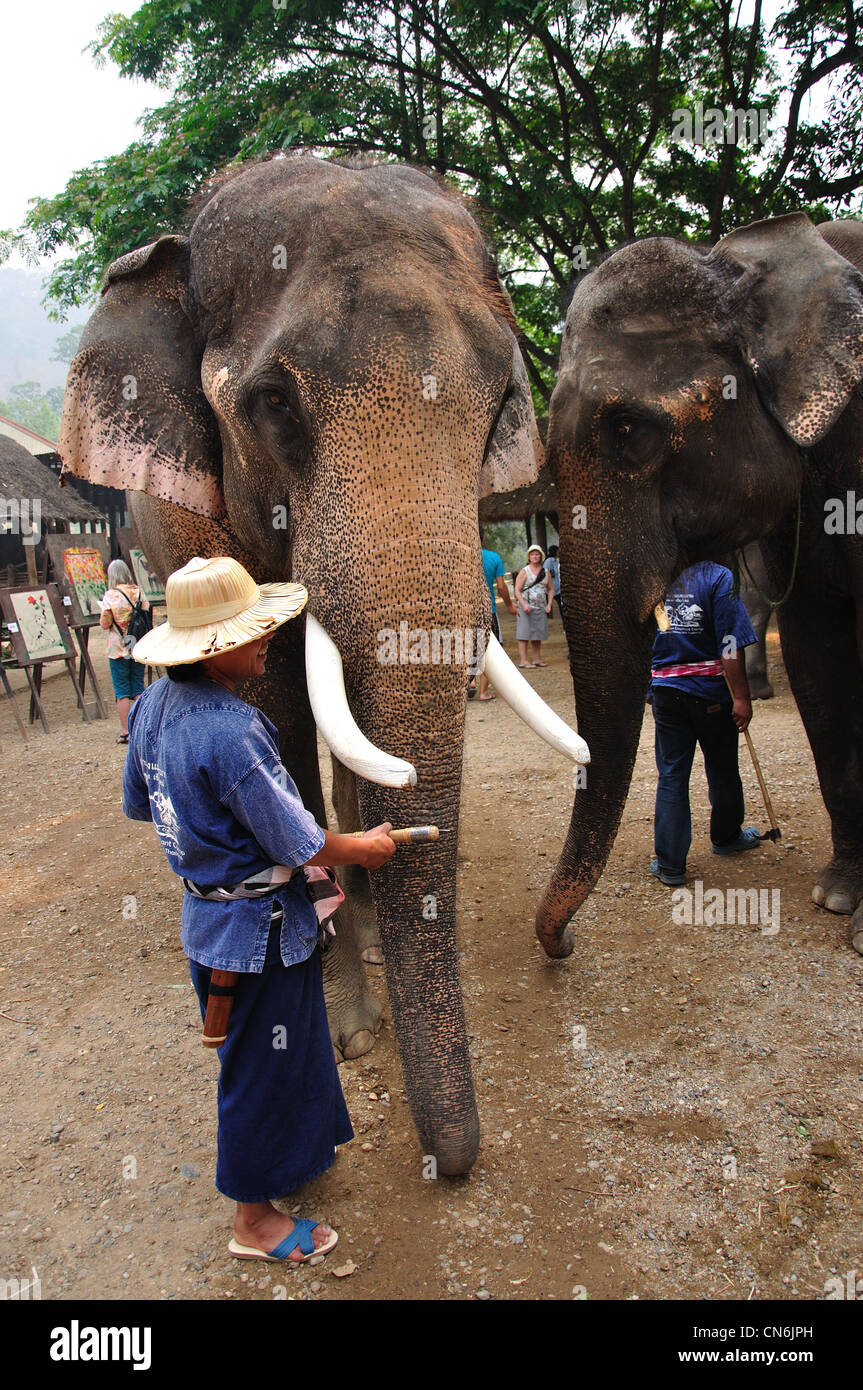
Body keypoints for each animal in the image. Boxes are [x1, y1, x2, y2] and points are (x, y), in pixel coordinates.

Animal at [59, 153, 588, 1176]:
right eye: (272, 402)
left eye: (500, 409)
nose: (454, 1164)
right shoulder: (187, 523)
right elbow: (273, 731)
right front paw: (347, 1030)